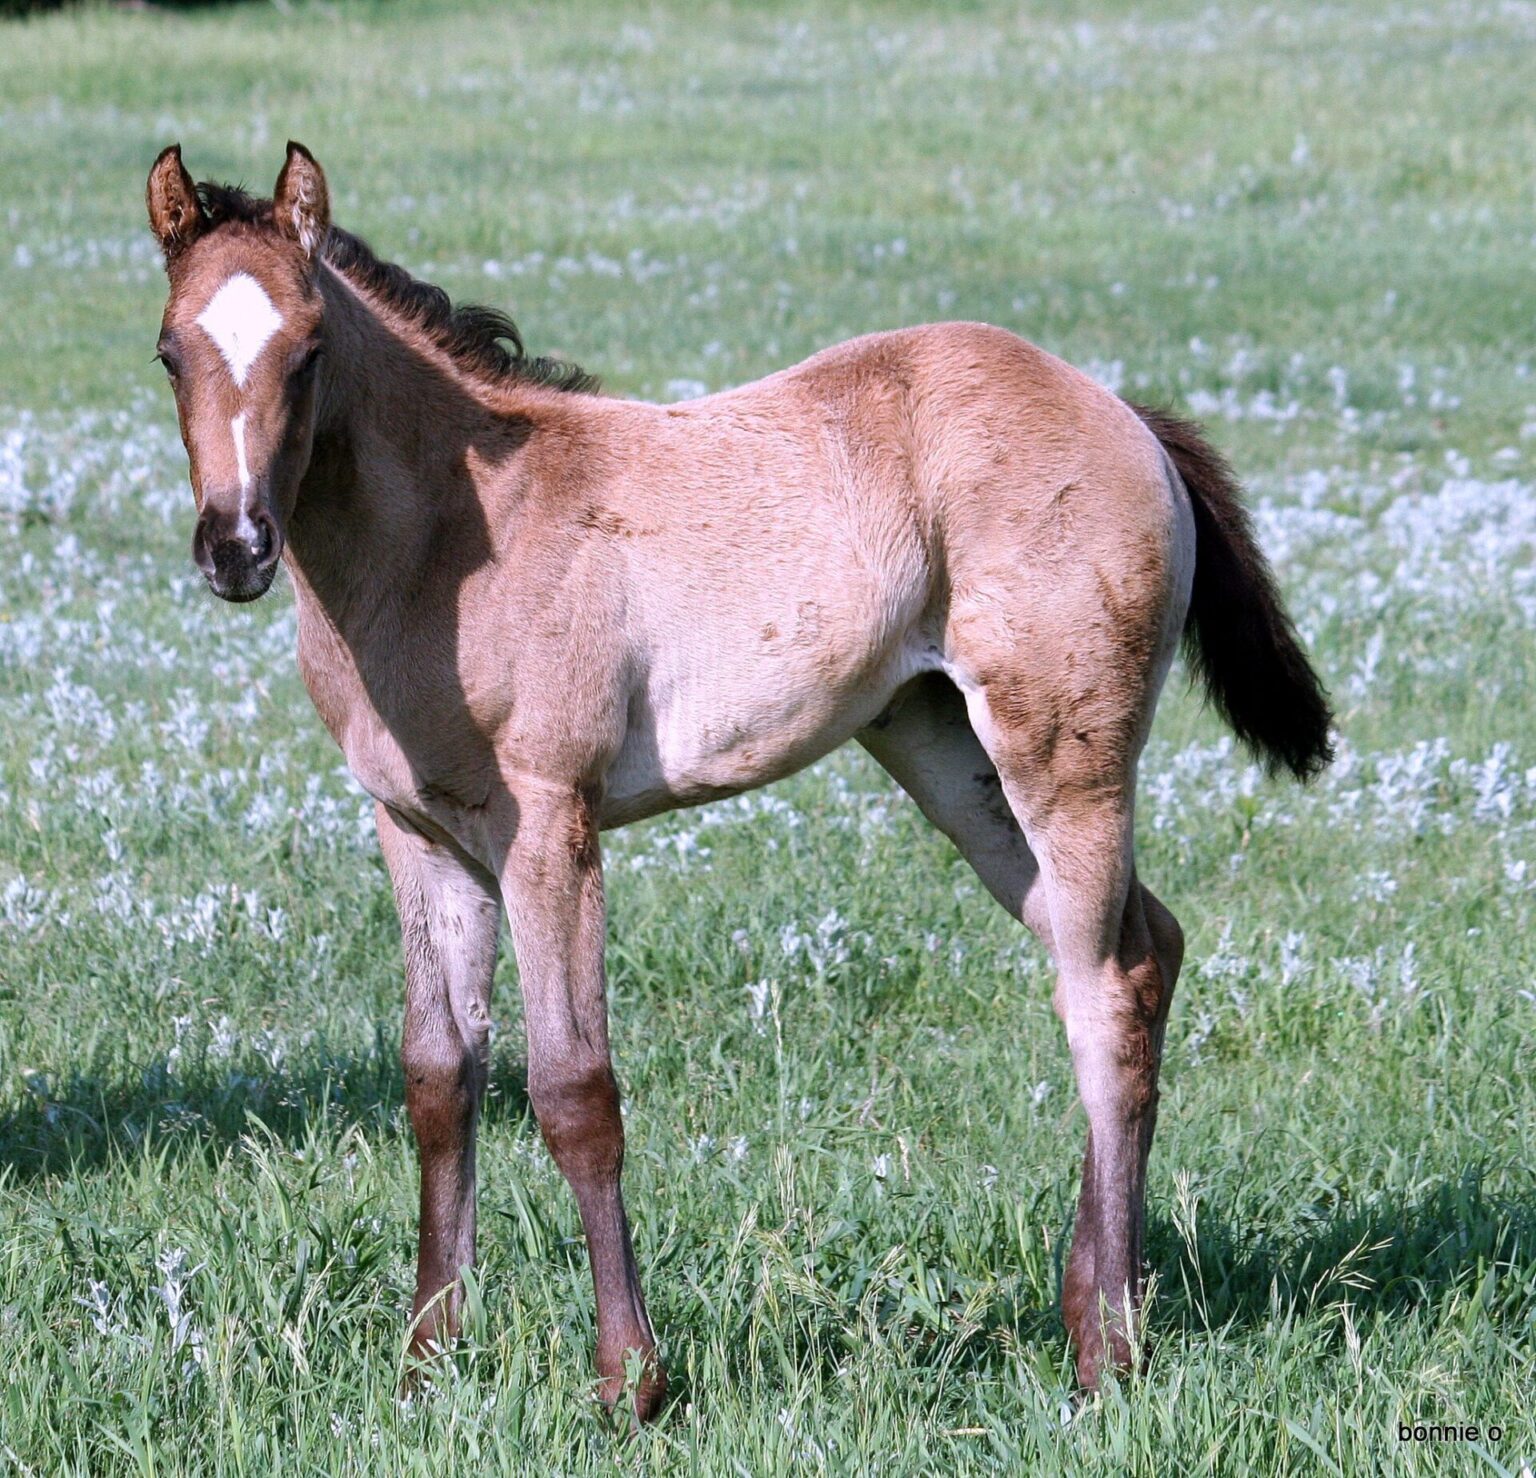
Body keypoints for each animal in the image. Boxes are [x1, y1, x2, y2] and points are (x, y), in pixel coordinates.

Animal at [145, 141, 1332, 1419]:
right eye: (169, 349)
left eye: (310, 349)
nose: (236, 548)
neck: (451, 543)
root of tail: (1125, 415)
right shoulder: (415, 828)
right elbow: (437, 1078)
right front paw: (426, 1363)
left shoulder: (548, 824)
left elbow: (574, 1091)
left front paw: (631, 1380)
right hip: (948, 755)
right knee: (1143, 949)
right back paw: (1098, 1305)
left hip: (1064, 755)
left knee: (1102, 988)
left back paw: (1107, 1349)